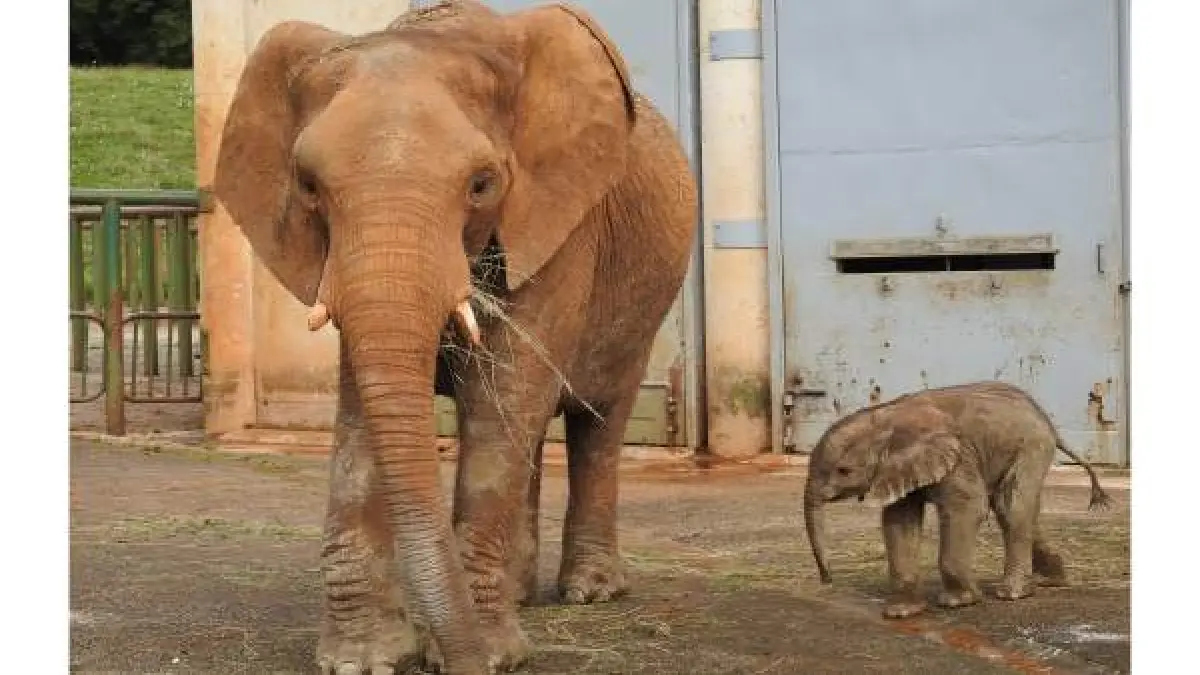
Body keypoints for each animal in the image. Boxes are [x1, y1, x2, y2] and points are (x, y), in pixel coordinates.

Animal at [211, 2, 698, 673]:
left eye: (481, 184)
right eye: (308, 186)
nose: (448, 653)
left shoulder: (558, 222)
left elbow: (505, 393)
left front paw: (489, 658)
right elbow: (367, 411)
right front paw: (365, 660)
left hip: (644, 302)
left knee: (596, 421)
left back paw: (591, 591)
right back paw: (522, 593)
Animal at [802, 381, 1112, 620]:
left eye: (843, 471)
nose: (828, 580)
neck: (886, 415)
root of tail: (1046, 420)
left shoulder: (960, 457)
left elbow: (967, 507)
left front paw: (959, 603)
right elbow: (899, 520)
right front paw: (901, 613)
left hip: (1032, 446)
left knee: (1010, 506)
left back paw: (1012, 594)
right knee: (1015, 509)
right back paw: (1049, 581)